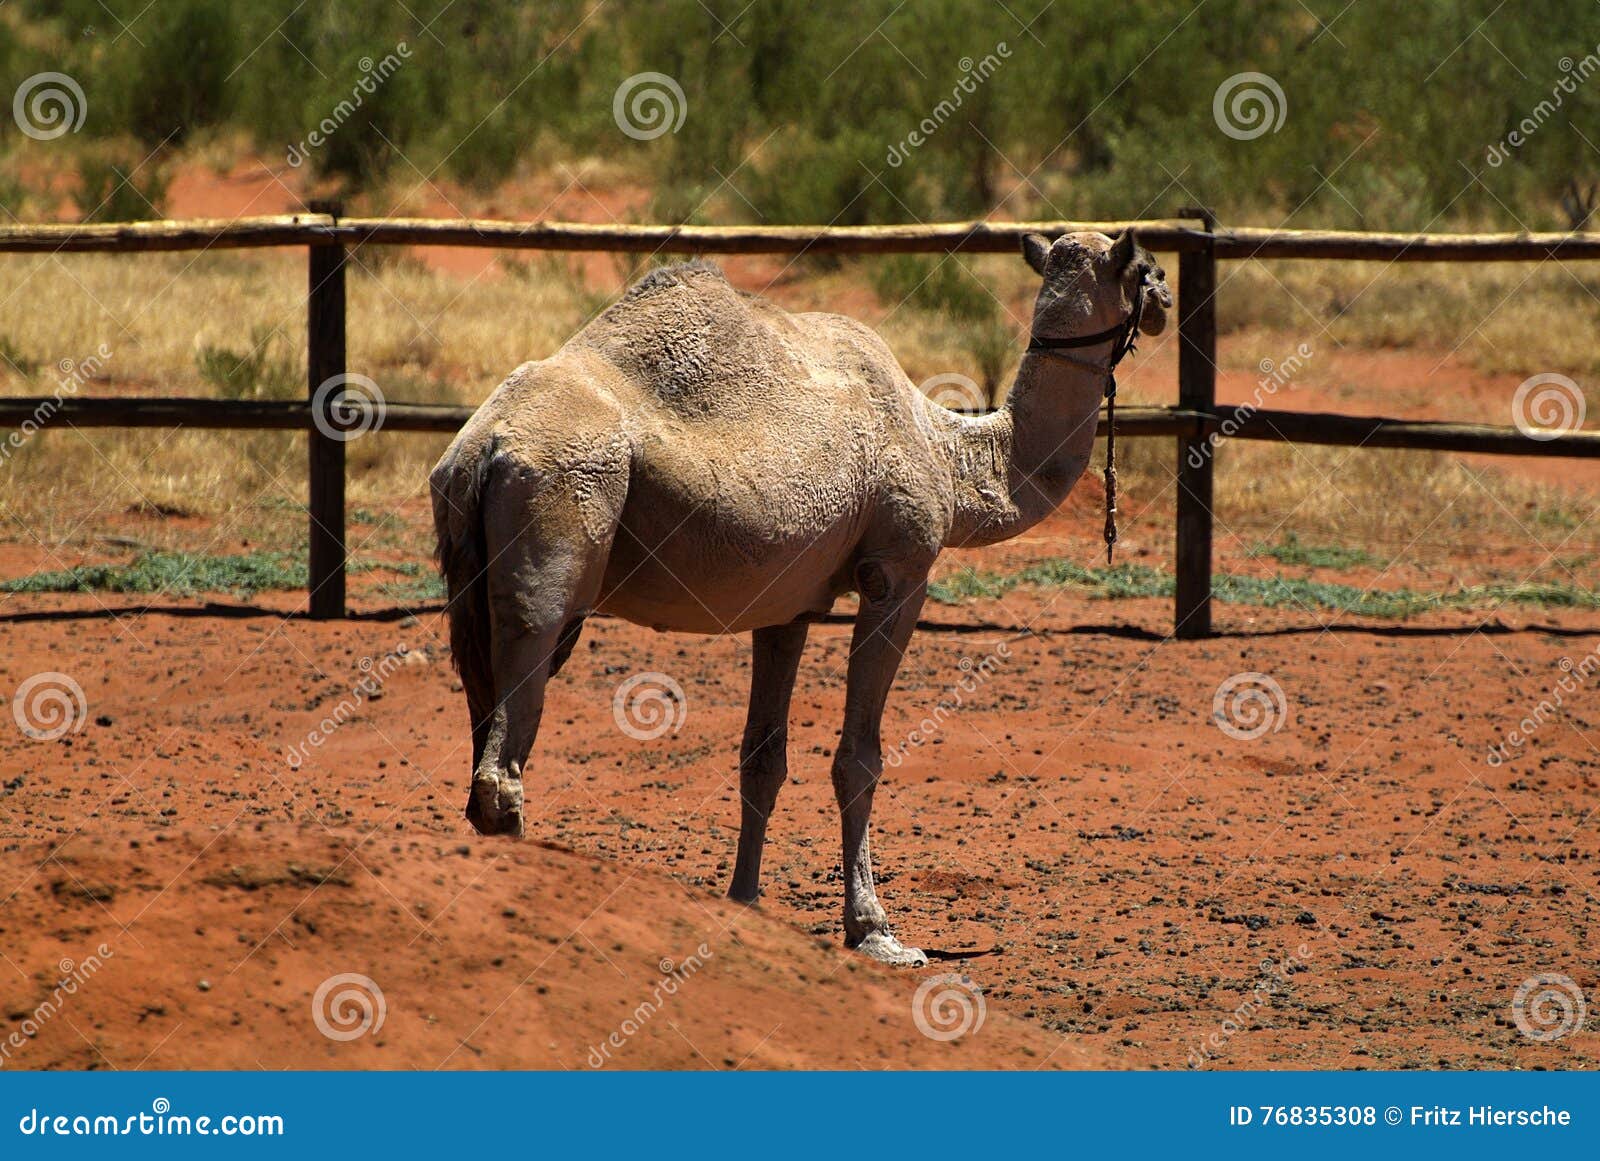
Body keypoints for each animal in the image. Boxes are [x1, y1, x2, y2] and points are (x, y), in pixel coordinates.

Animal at [430, 230, 1171, 965]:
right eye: (1142, 267)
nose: (1166, 297)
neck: (948, 454)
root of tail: (484, 446)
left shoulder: (786, 606)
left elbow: (762, 758)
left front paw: (745, 899)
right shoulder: (898, 573)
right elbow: (859, 758)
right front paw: (875, 929)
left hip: (470, 575)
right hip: (562, 516)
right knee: (506, 743)